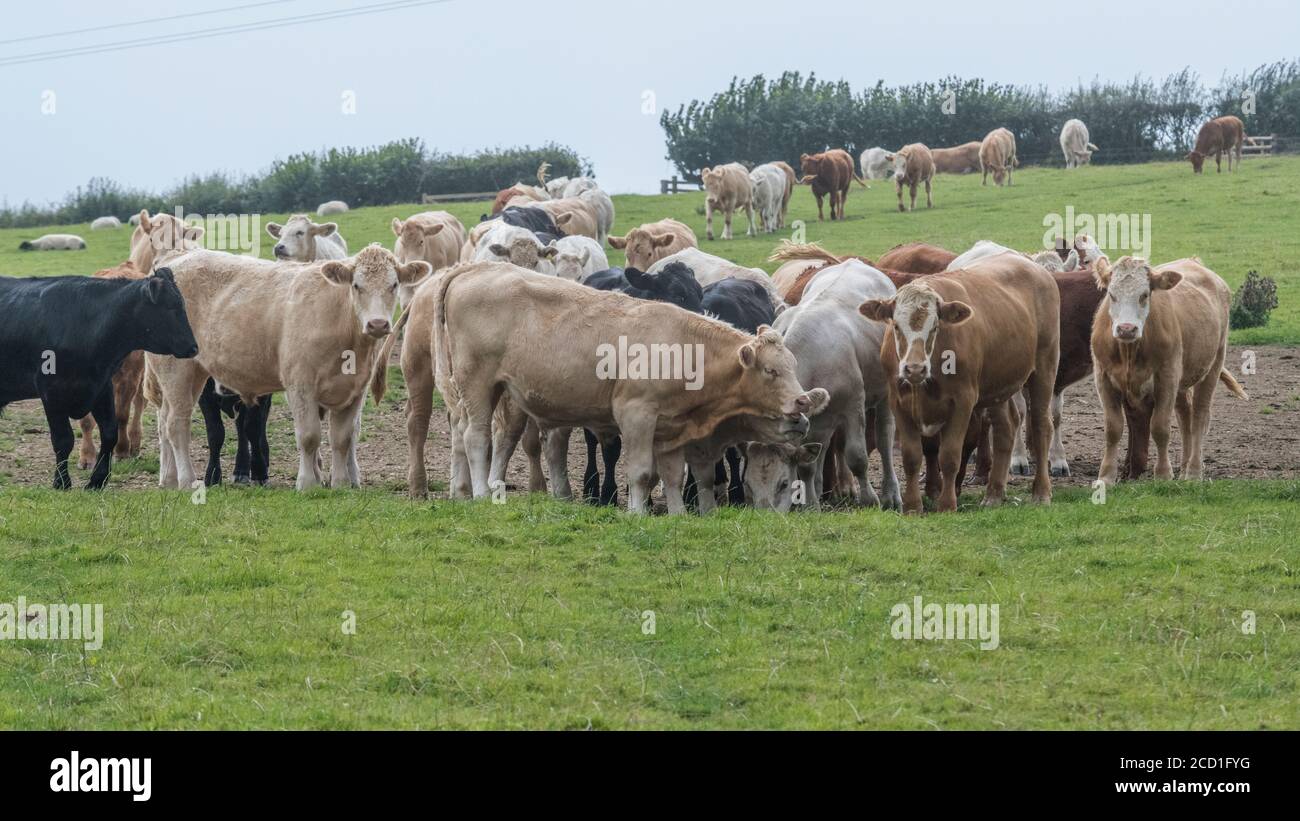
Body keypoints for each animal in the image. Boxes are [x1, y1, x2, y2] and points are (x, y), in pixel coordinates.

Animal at [0, 270, 198, 489]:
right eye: (171, 307)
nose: (193, 348)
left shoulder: (101, 386)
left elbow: (110, 432)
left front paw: (97, 480)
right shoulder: (50, 391)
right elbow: (63, 439)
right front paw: (62, 482)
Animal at [146, 245, 430, 491]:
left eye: (393, 285)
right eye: (357, 285)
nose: (378, 324)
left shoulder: (354, 390)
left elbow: (342, 439)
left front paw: (340, 484)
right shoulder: (301, 385)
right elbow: (309, 436)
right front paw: (307, 484)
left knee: (164, 422)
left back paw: (168, 479)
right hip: (177, 369)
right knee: (176, 424)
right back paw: (186, 480)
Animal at [434, 261, 826, 513]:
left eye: (792, 366)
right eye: (771, 371)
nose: (803, 404)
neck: (683, 347)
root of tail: (473, 268)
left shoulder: (671, 428)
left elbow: (671, 475)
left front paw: (677, 514)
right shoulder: (636, 415)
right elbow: (641, 473)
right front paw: (637, 512)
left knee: (468, 435)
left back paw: (463, 491)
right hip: (477, 382)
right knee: (476, 438)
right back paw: (481, 494)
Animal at [859, 254, 1060, 512]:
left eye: (935, 326)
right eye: (895, 326)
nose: (914, 368)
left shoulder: (963, 401)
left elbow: (949, 456)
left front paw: (947, 505)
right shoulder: (898, 402)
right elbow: (912, 457)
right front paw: (913, 506)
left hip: (1045, 367)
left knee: (1041, 425)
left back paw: (1041, 492)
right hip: (998, 385)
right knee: (1005, 428)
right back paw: (994, 493)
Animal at [1090, 256, 1247, 485]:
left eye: (1144, 295)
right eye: (1112, 295)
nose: (1126, 329)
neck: (1130, 351)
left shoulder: (1166, 378)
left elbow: (1160, 428)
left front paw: (1163, 474)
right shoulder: (1103, 379)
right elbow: (1113, 429)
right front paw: (1105, 477)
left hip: (1213, 364)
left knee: (1199, 416)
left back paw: (1193, 471)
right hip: (1181, 382)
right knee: (1185, 417)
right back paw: (1184, 468)